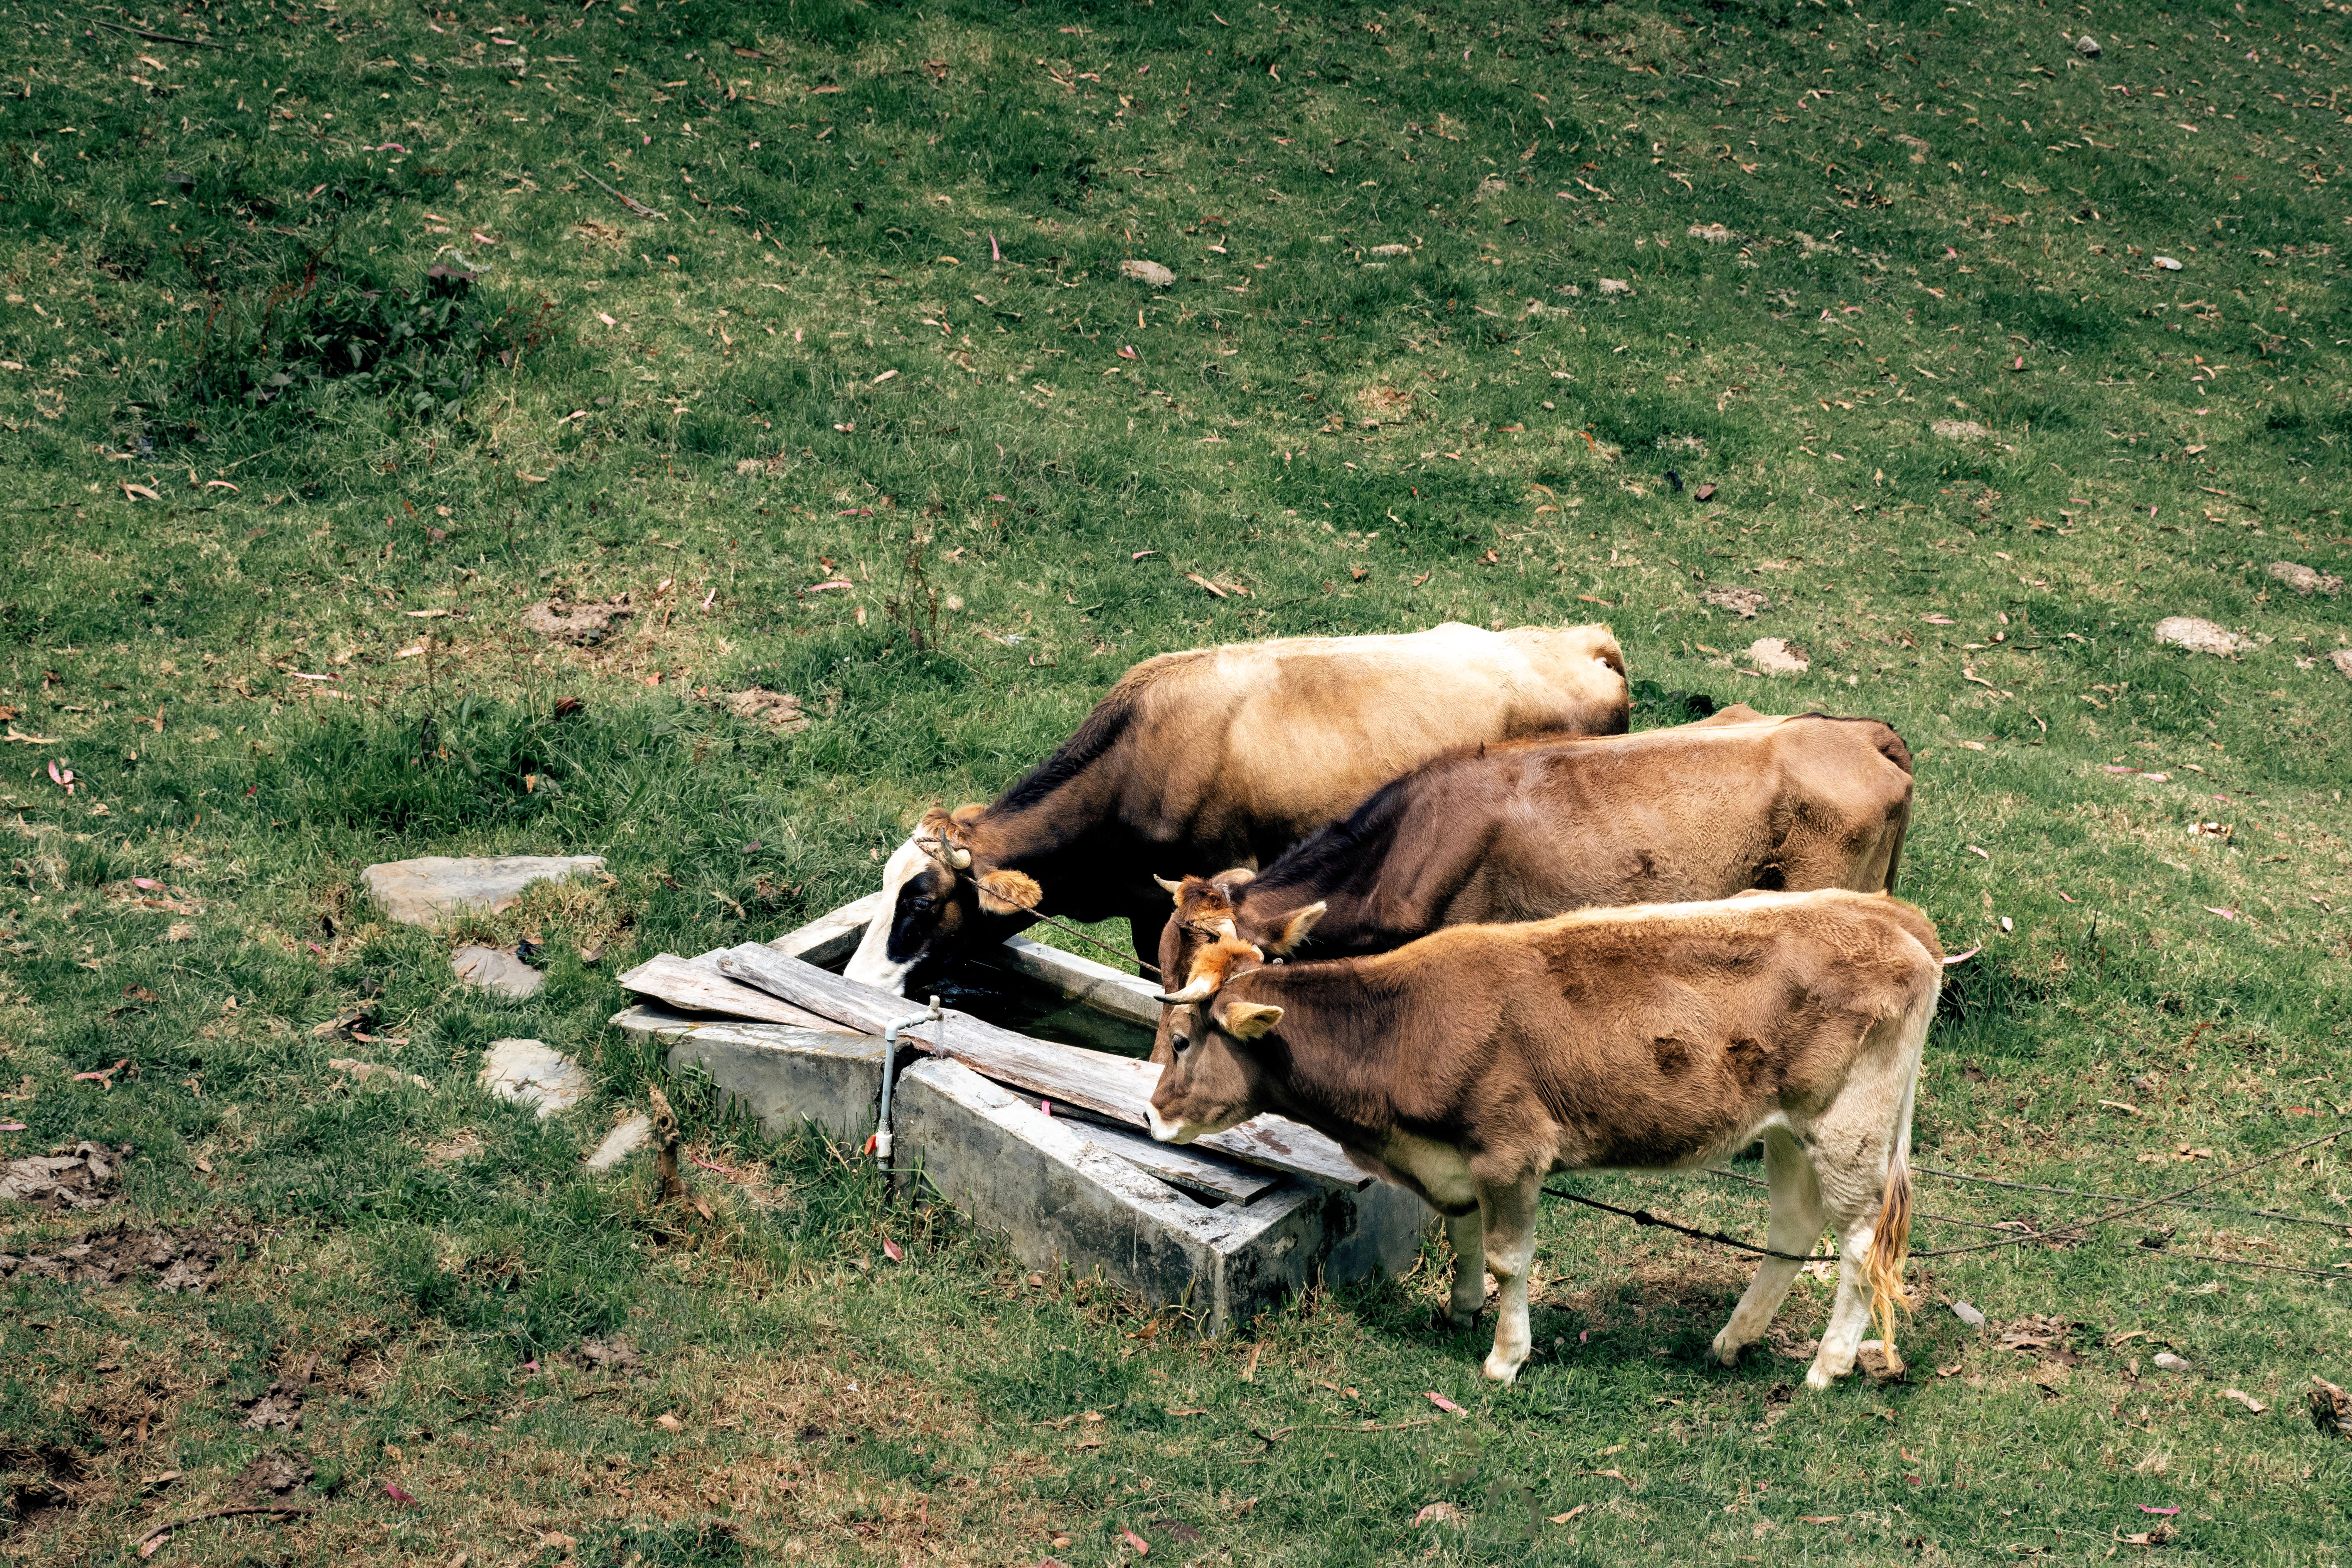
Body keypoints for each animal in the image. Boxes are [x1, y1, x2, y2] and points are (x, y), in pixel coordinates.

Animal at [1145, 889, 1942, 1391]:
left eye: (1181, 1040)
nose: (1153, 1115)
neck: (1401, 1024)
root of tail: (1892, 916)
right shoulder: (1455, 1159)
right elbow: (1463, 1234)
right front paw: (1461, 1307)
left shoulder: (1512, 1152)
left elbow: (1509, 1258)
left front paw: (1505, 1356)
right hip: (1786, 1131)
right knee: (1794, 1227)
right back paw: (1733, 1339)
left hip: (1849, 1128)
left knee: (1861, 1247)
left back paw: (1827, 1365)